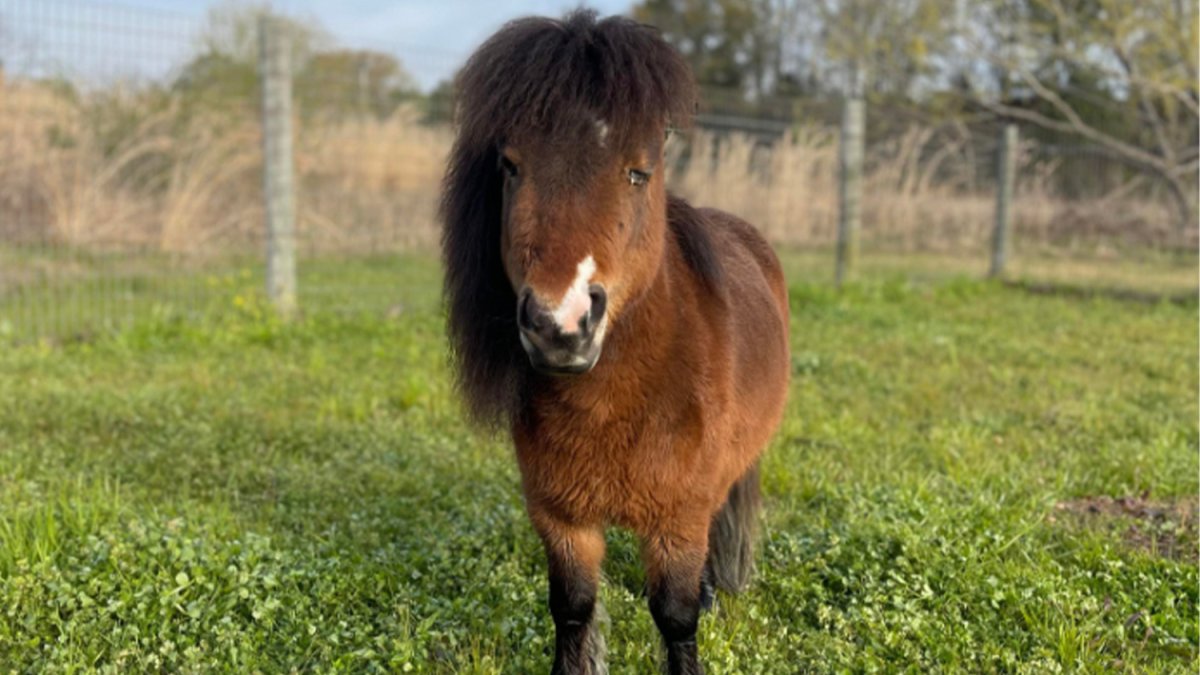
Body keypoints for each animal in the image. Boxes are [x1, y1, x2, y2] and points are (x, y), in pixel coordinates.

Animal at [441, 11, 790, 674]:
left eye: (637, 172)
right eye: (511, 166)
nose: (561, 323)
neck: (613, 403)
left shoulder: (679, 520)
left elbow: (675, 617)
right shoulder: (562, 519)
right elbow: (573, 608)